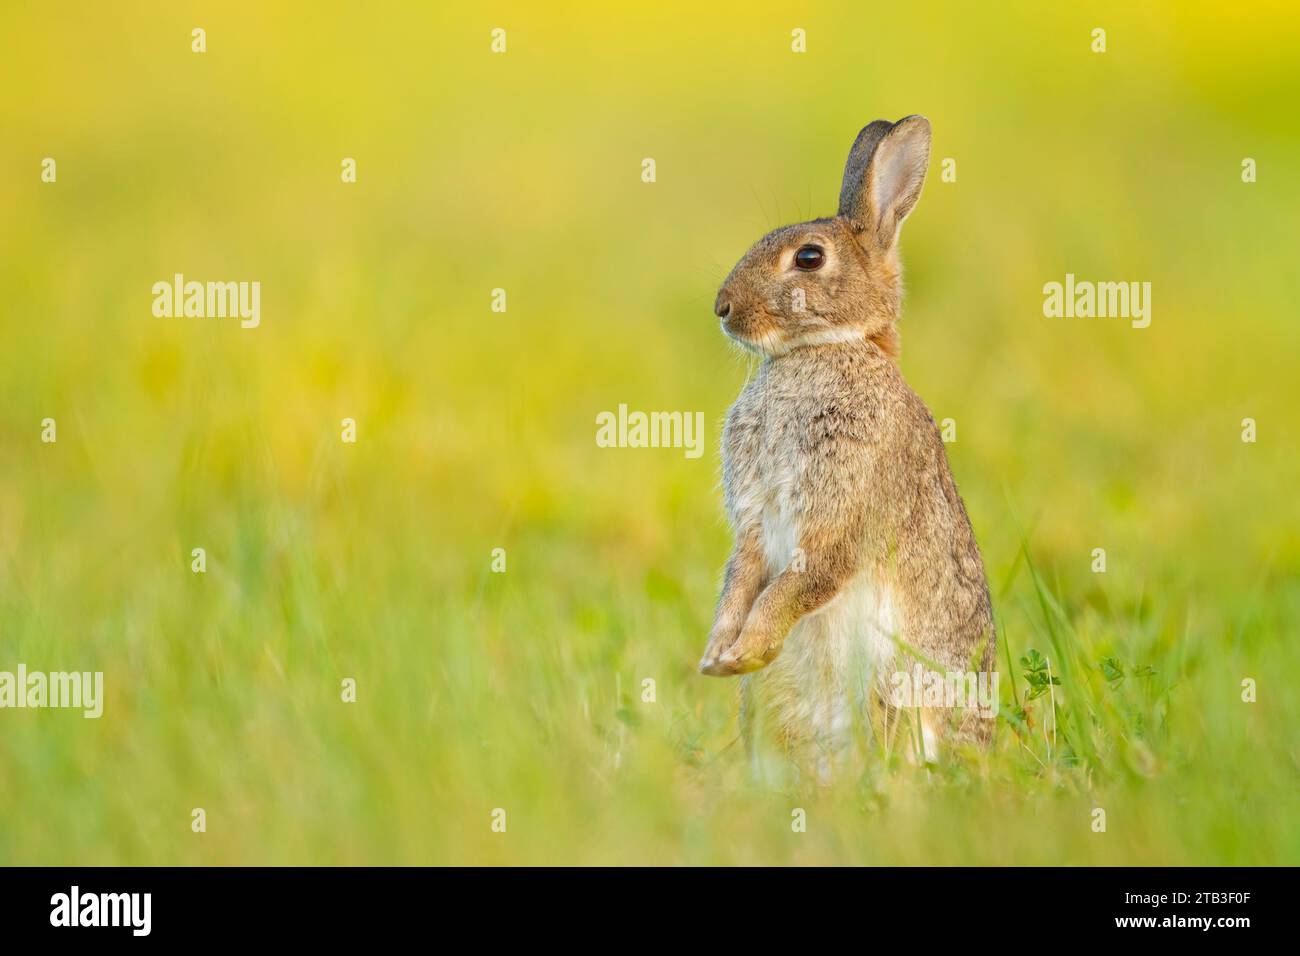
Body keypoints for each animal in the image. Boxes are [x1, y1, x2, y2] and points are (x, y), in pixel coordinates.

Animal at [697, 116, 996, 768]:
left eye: (809, 258)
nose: (723, 308)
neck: (825, 349)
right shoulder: (754, 521)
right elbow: (741, 577)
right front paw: (718, 657)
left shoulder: (841, 513)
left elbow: (797, 583)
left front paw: (745, 650)